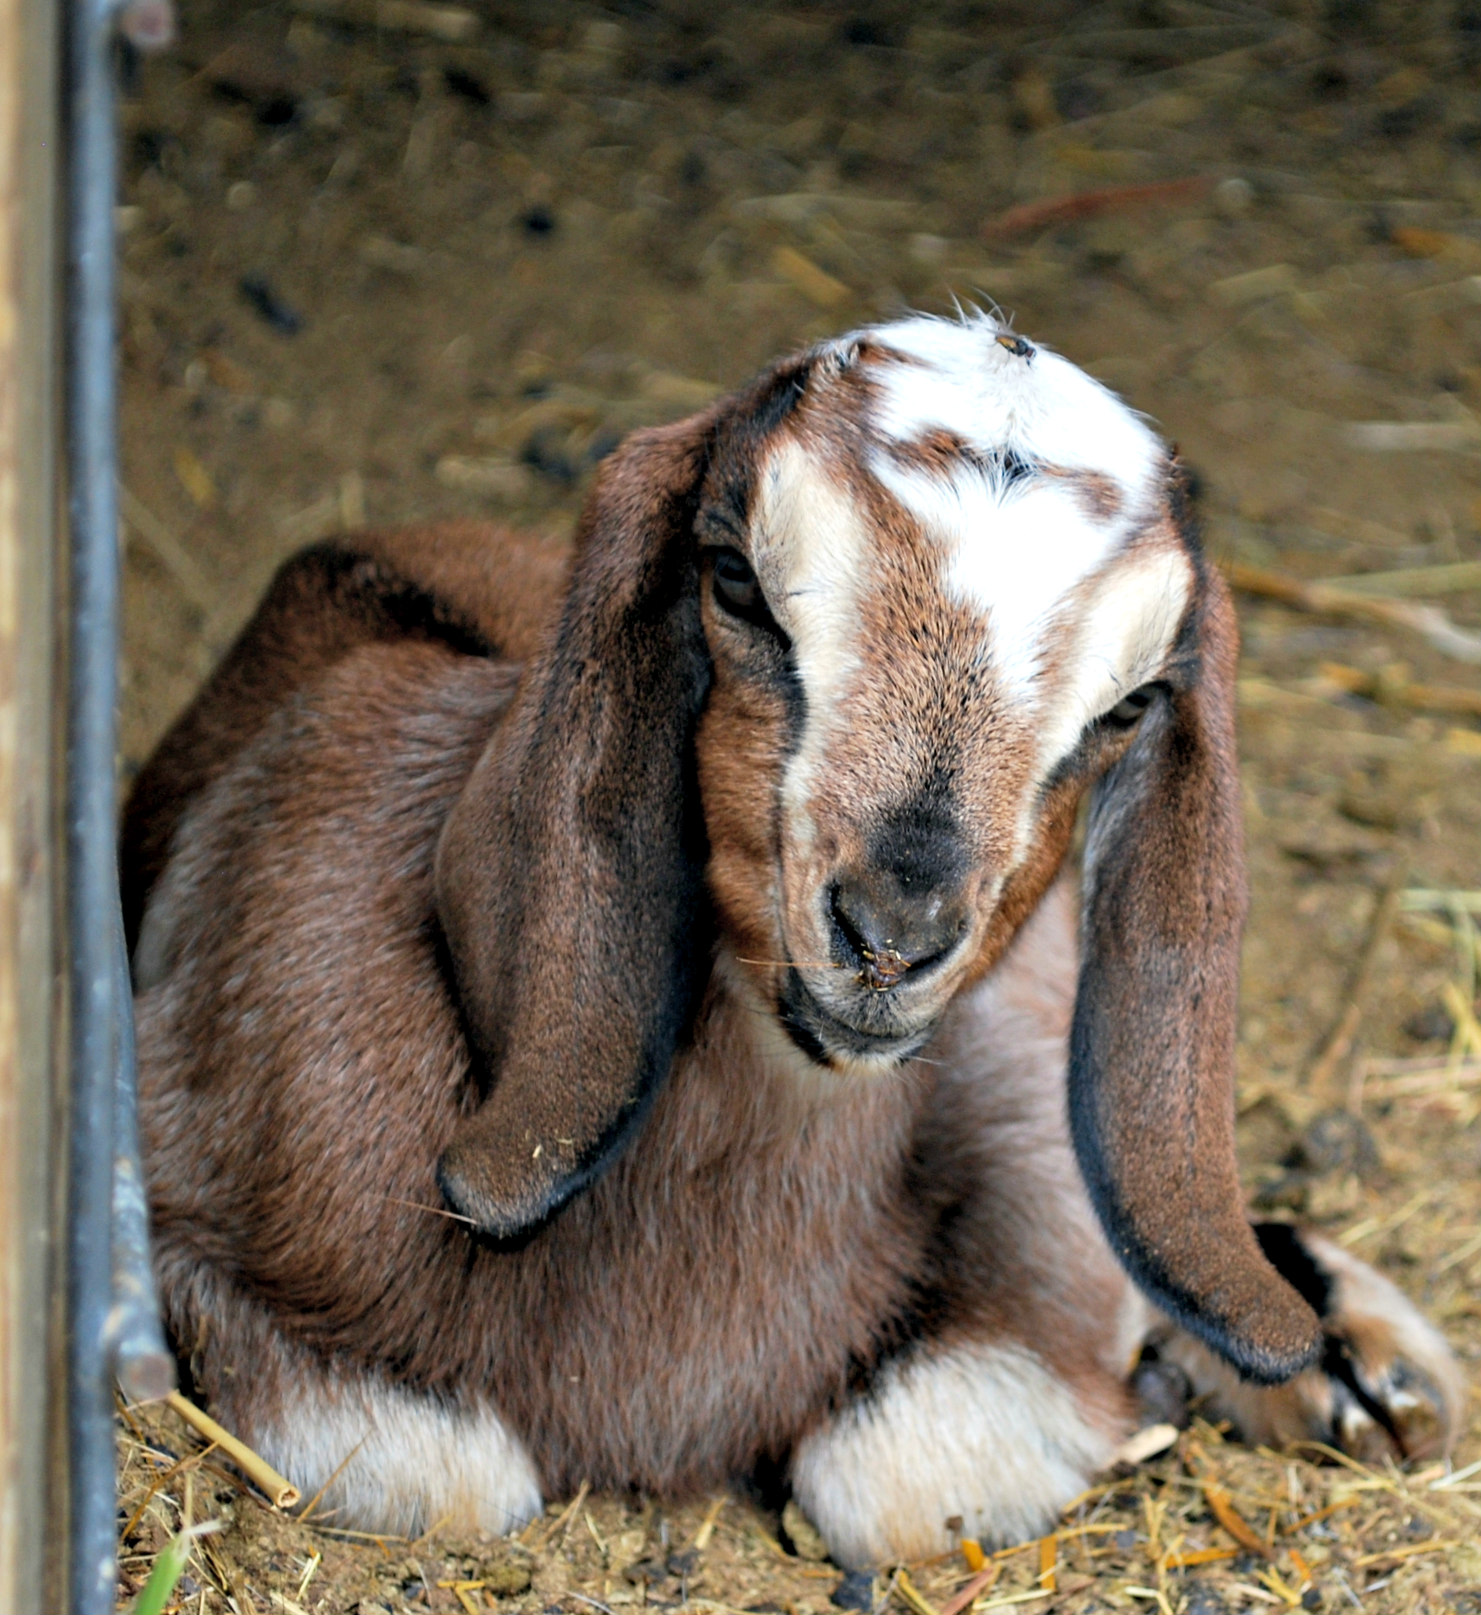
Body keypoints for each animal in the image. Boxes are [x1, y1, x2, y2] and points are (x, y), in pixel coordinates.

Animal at [124, 314, 1464, 1565]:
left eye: (1128, 705)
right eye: (731, 579)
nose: (889, 938)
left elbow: (901, 1482)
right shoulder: (200, 1255)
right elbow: (452, 1479)